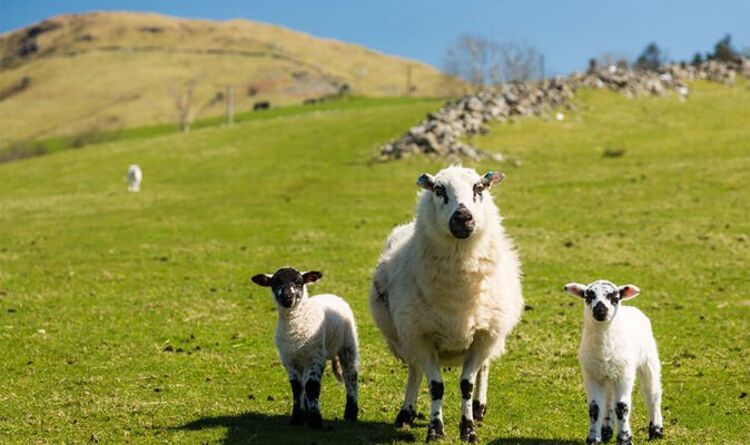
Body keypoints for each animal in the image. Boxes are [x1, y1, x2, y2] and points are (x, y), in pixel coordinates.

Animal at [251, 268, 360, 426]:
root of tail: (330, 295)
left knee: (350, 375)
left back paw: (351, 413)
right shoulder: (289, 360)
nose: (287, 297)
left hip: (348, 345)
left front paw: (315, 421)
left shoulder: (316, 358)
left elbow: (312, 387)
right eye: (275, 283)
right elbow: (297, 388)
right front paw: (297, 418)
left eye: (299, 283)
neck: (295, 324)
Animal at [368, 166, 524, 440]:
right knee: (415, 370)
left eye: (478, 188)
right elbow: (436, 387)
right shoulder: (421, 336)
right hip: (406, 335)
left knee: (484, 367)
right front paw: (435, 430)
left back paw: (479, 407)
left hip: (493, 333)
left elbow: (467, 384)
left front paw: (468, 429)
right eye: (439, 190)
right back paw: (406, 413)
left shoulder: (483, 335)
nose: (462, 217)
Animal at [568, 280, 668, 444]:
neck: (604, 347)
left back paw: (656, 430)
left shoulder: (625, 375)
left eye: (614, 296)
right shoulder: (591, 375)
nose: (600, 310)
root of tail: (631, 308)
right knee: (608, 399)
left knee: (652, 394)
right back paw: (607, 430)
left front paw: (625, 438)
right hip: (608, 374)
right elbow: (595, 408)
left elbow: (622, 406)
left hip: (649, 361)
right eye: (588, 296)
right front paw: (593, 438)